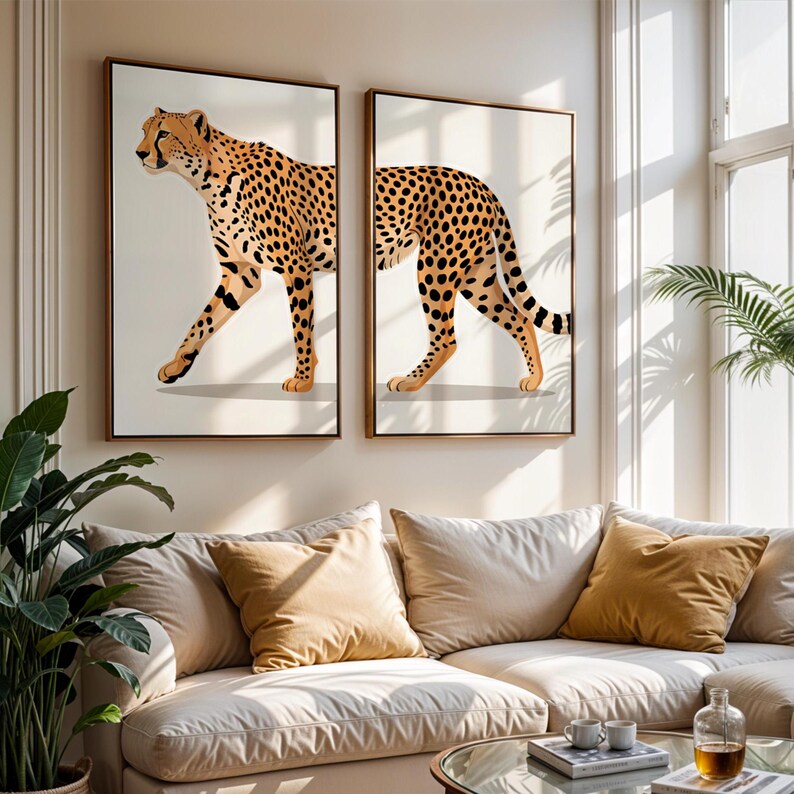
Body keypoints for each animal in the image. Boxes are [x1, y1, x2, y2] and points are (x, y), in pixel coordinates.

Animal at [135, 107, 336, 392]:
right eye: (144, 130)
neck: (209, 182)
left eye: (163, 133)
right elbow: (204, 320)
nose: (139, 153)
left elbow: (301, 324)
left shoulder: (296, 266)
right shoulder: (240, 272)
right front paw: (178, 362)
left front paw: (303, 378)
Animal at [374, 165, 572, 393]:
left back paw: (410, 381)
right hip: (476, 279)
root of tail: (477, 182)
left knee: (446, 339)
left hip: (437, 267)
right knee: (520, 320)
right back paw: (534, 379)